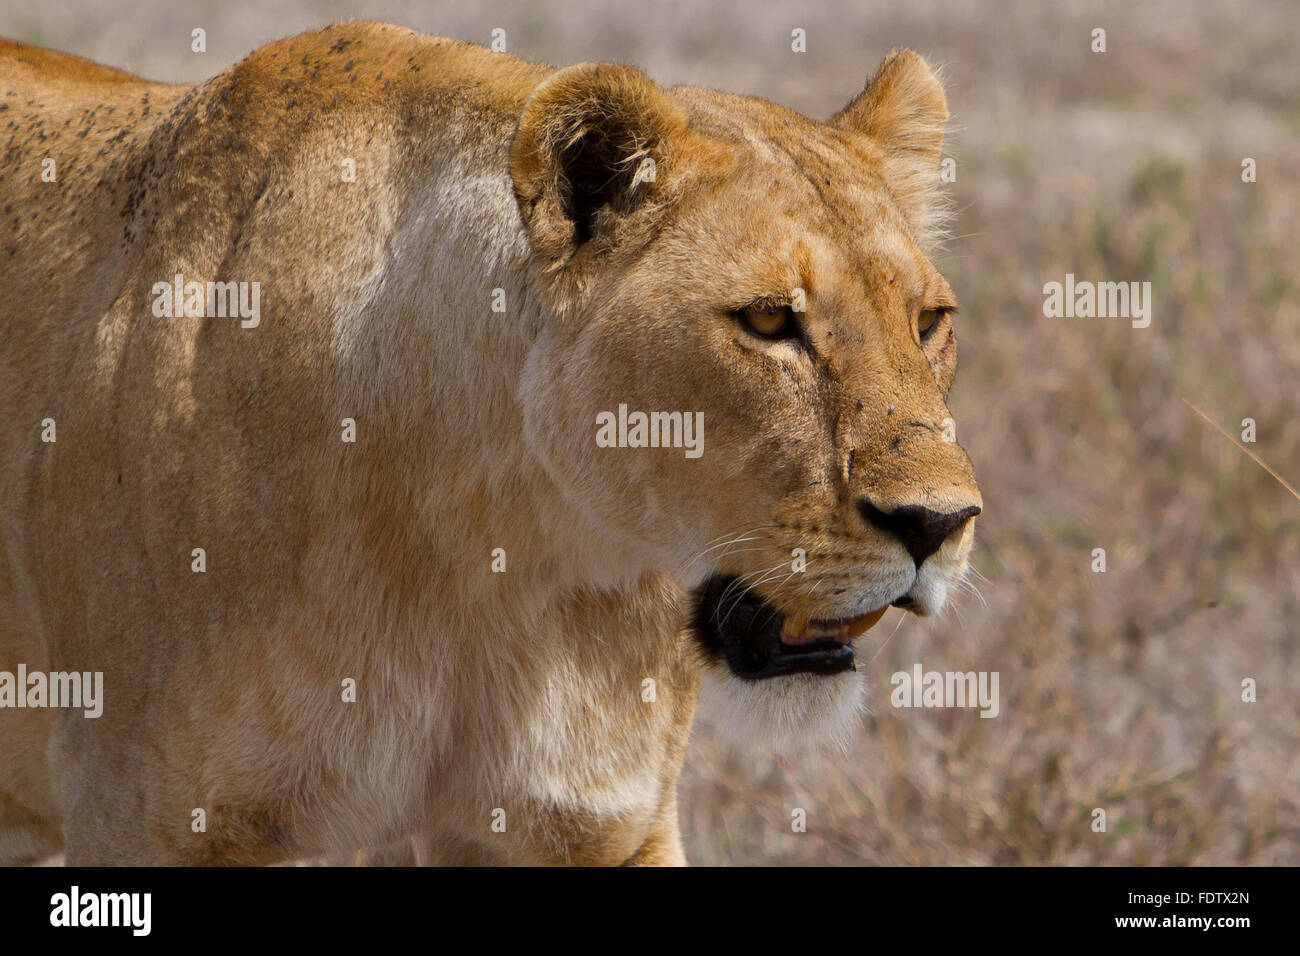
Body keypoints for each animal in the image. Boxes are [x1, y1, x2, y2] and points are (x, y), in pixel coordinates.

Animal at [0, 21, 981, 866]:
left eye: (928, 323)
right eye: (771, 321)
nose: (939, 525)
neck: (492, 553)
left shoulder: (597, 822)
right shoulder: (142, 816)